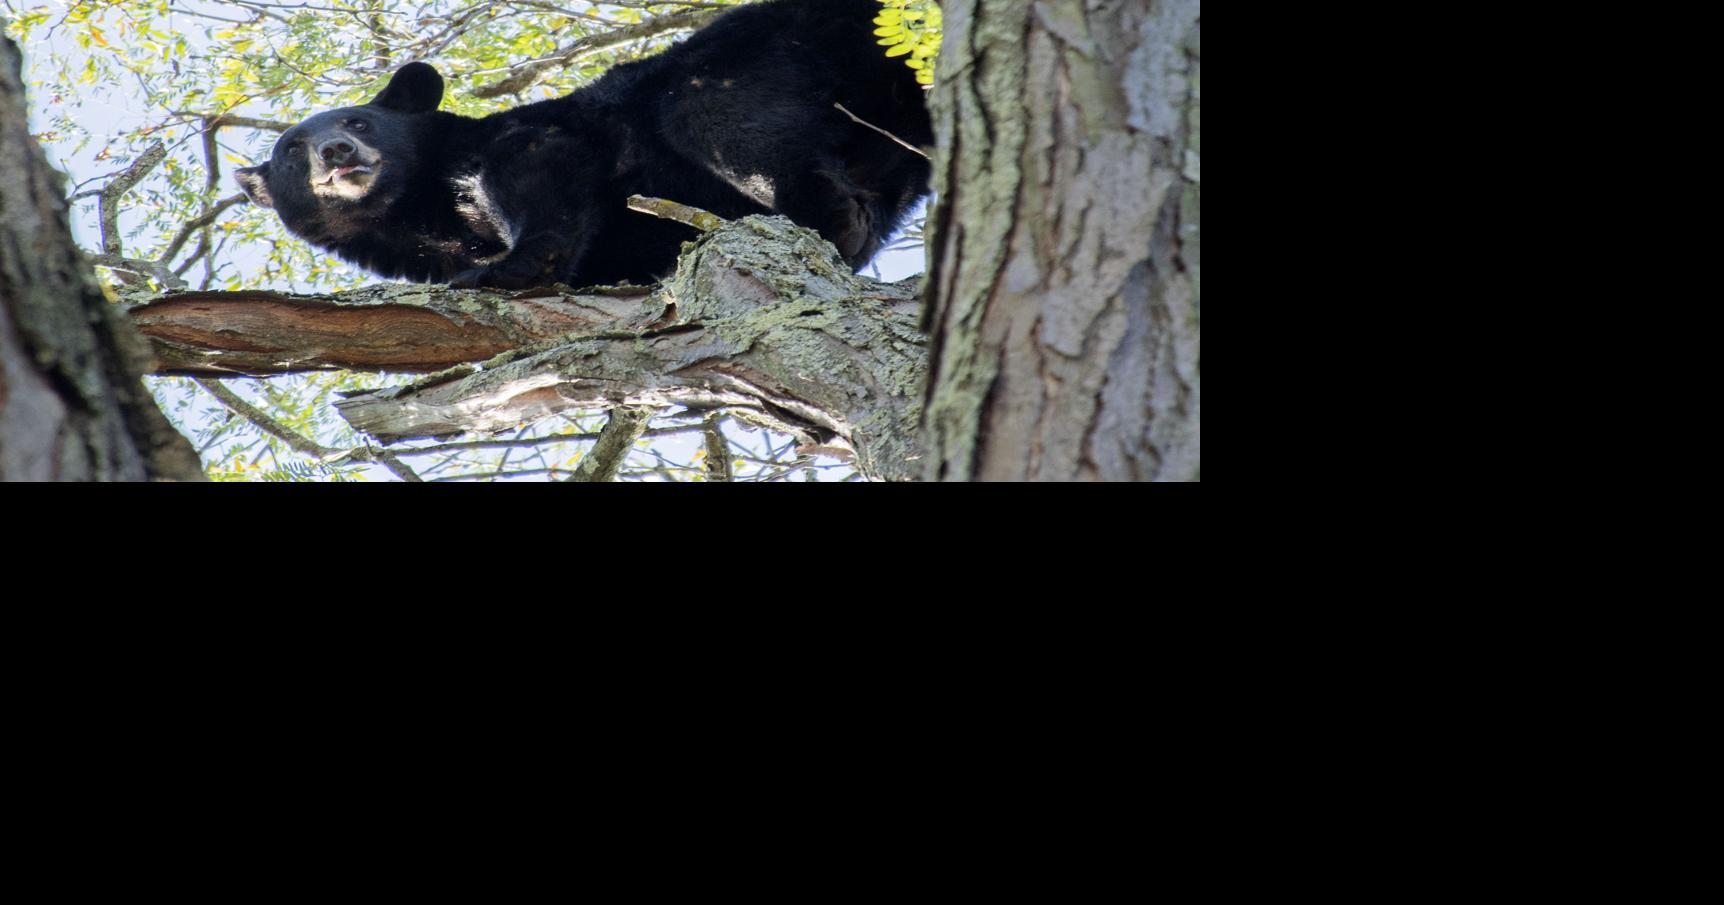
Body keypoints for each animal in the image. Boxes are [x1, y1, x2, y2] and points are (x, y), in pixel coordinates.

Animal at [232, 0, 933, 291]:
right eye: (291, 150)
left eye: (359, 123)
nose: (335, 153)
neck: (418, 209)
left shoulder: (525, 138)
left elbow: (542, 167)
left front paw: (506, 268)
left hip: (758, 56)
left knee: (714, 119)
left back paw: (822, 216)